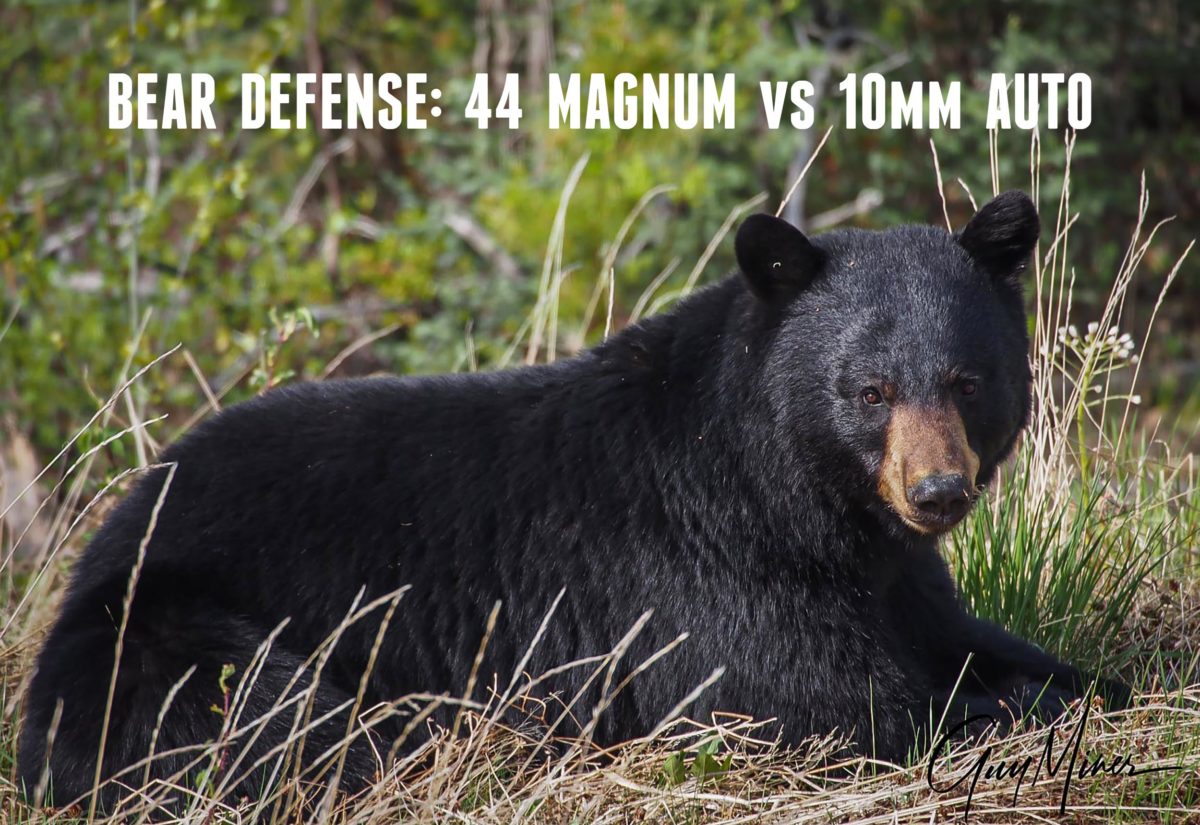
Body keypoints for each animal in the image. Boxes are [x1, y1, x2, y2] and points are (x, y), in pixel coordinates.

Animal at [19, 191, 1125, 810]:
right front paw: (1005, 712)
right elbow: (823, 698)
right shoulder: (701, 571)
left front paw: (1093, 681)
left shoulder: (895, 573)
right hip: (162, 639)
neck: (800, 499)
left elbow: (969, 637)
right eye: (870, 391)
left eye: (967, 381)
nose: (936, 491)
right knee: (274, 715)